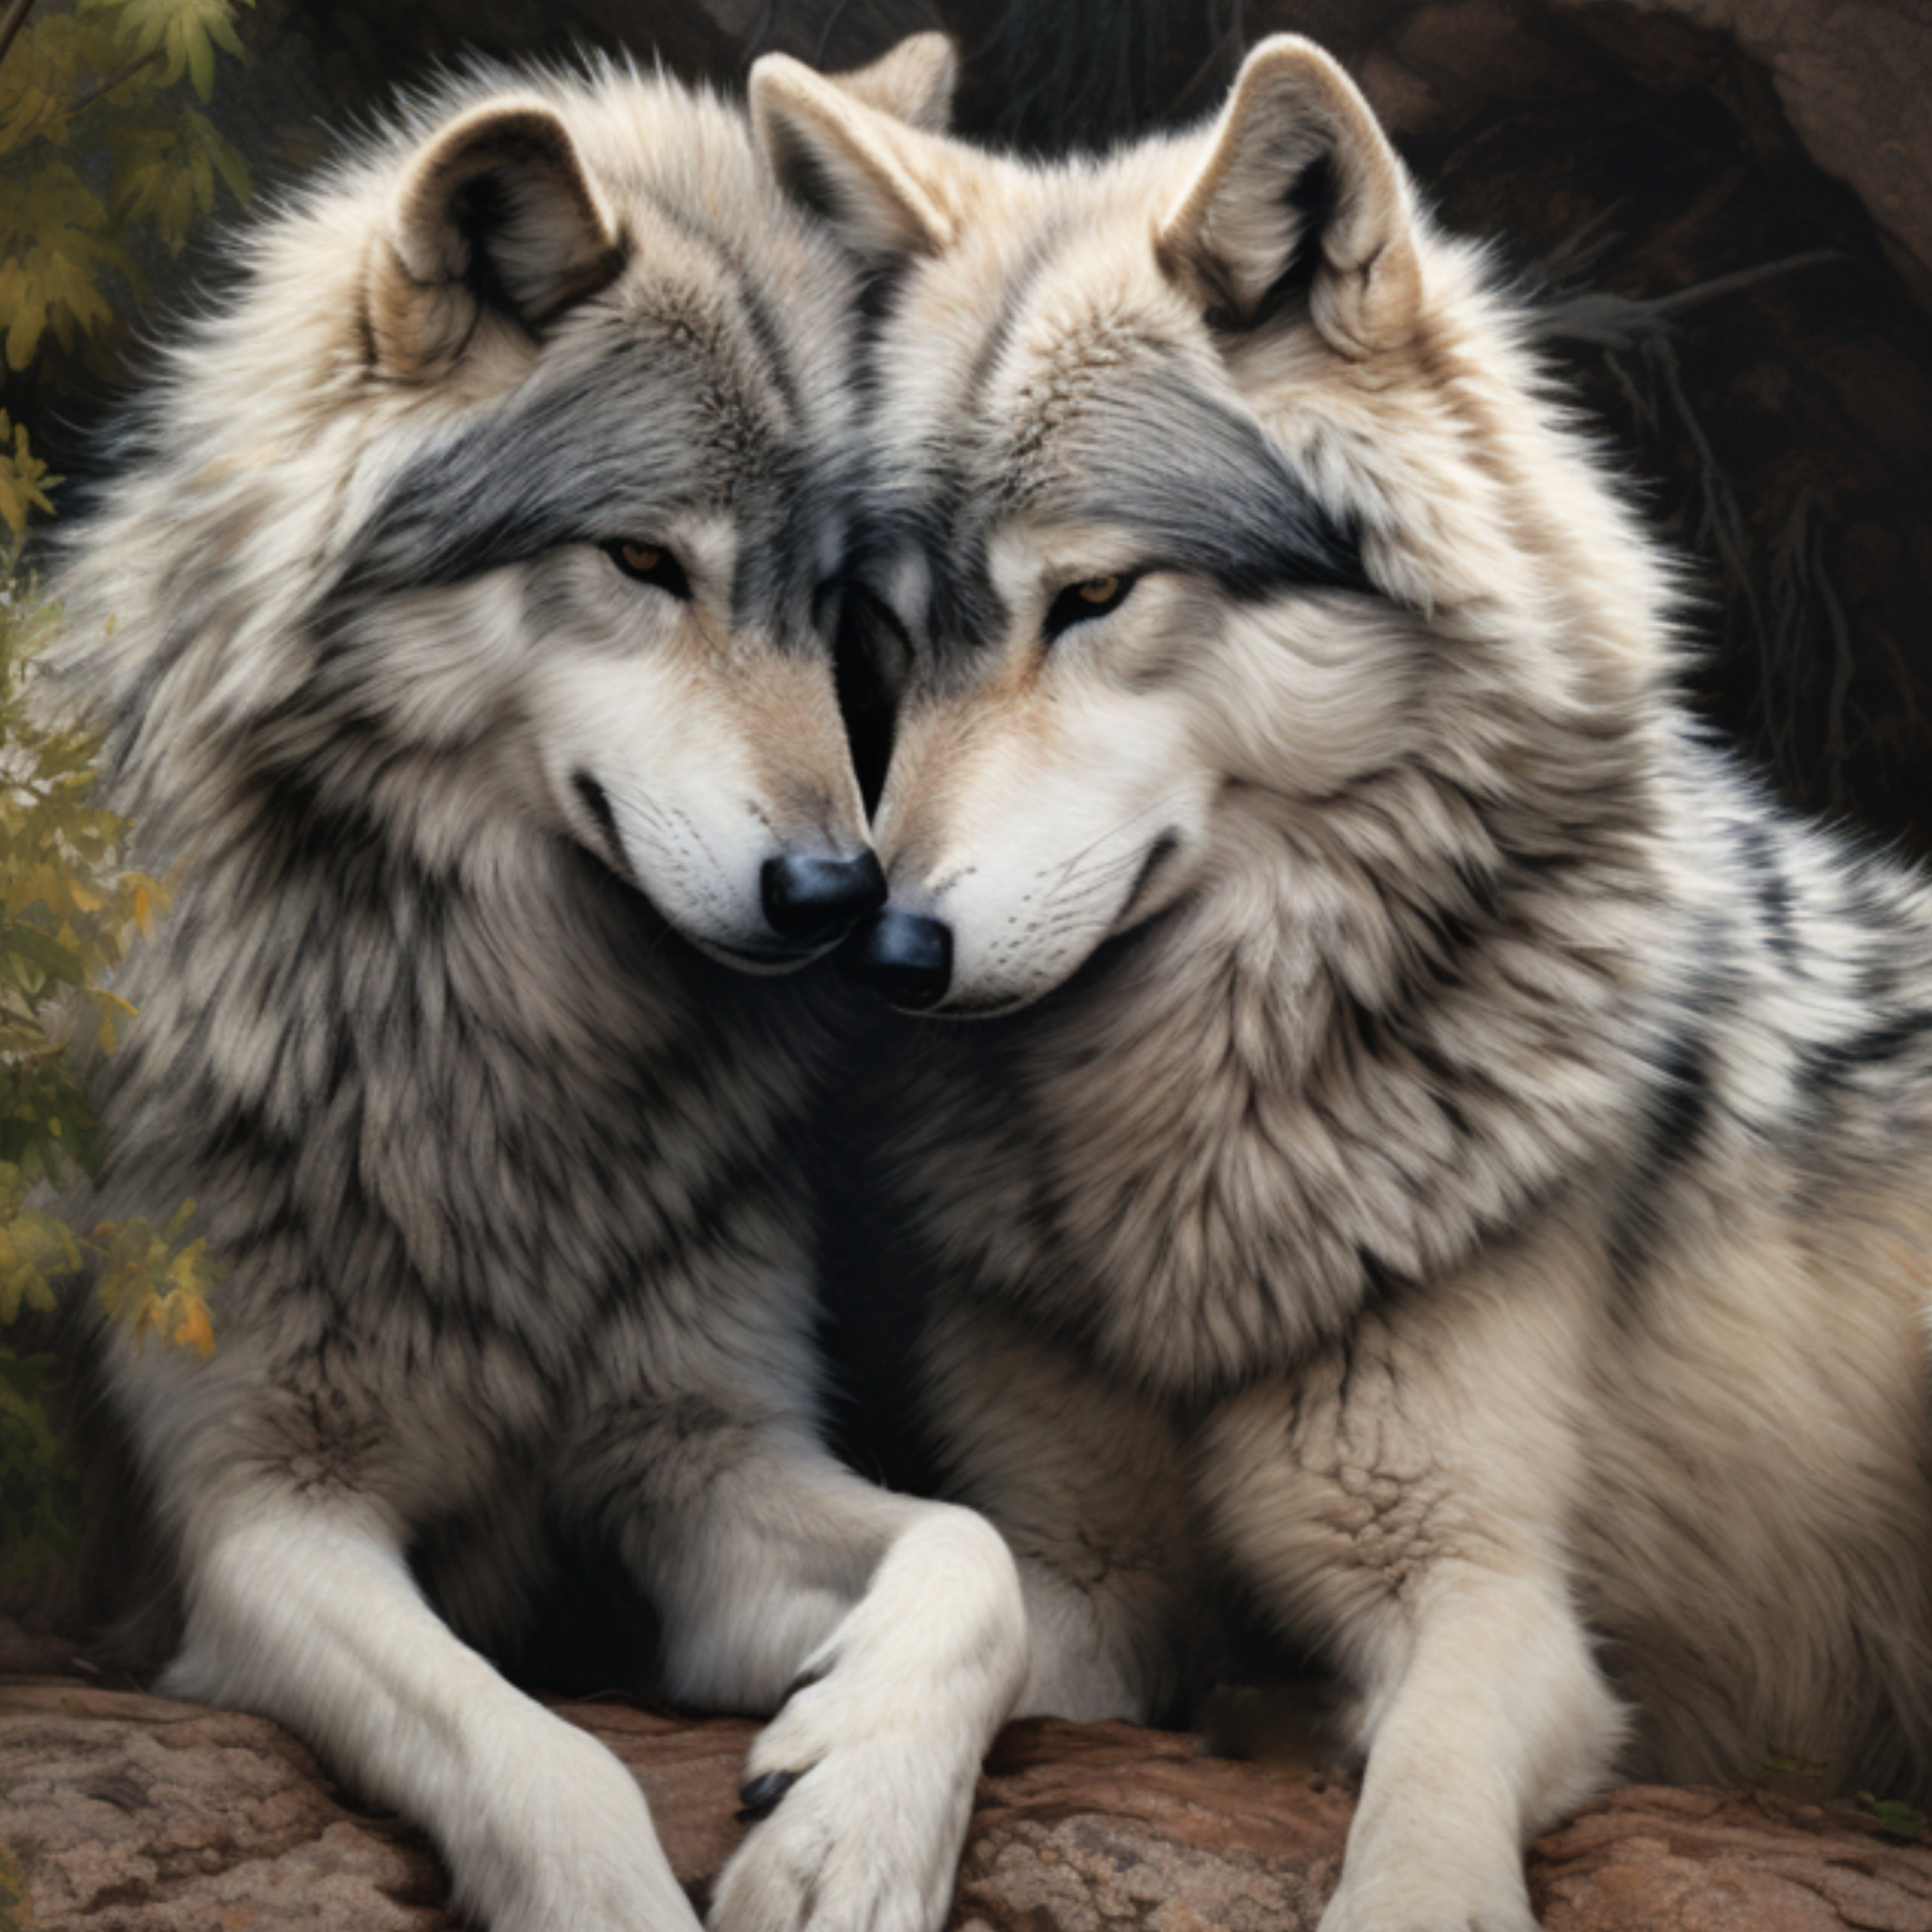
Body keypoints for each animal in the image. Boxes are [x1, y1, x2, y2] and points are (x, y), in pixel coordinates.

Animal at [49, 36, 1031, 1932]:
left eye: (837, 597)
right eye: (642, 562)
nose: (833, 893)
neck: (504, 1040)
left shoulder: (702, 1451)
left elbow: (980, 1550)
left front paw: (851, 1825)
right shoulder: (245, 1514)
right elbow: (535, 1749)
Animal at [750, 35, 1932, 1931]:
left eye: (1093, 595)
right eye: (885, 628)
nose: (894, 950)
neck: (1188, 1172)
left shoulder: (1488, 1601)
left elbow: (1425, 1831)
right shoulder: (1085, 1562)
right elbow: (974, 1564)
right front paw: (841, 1818)